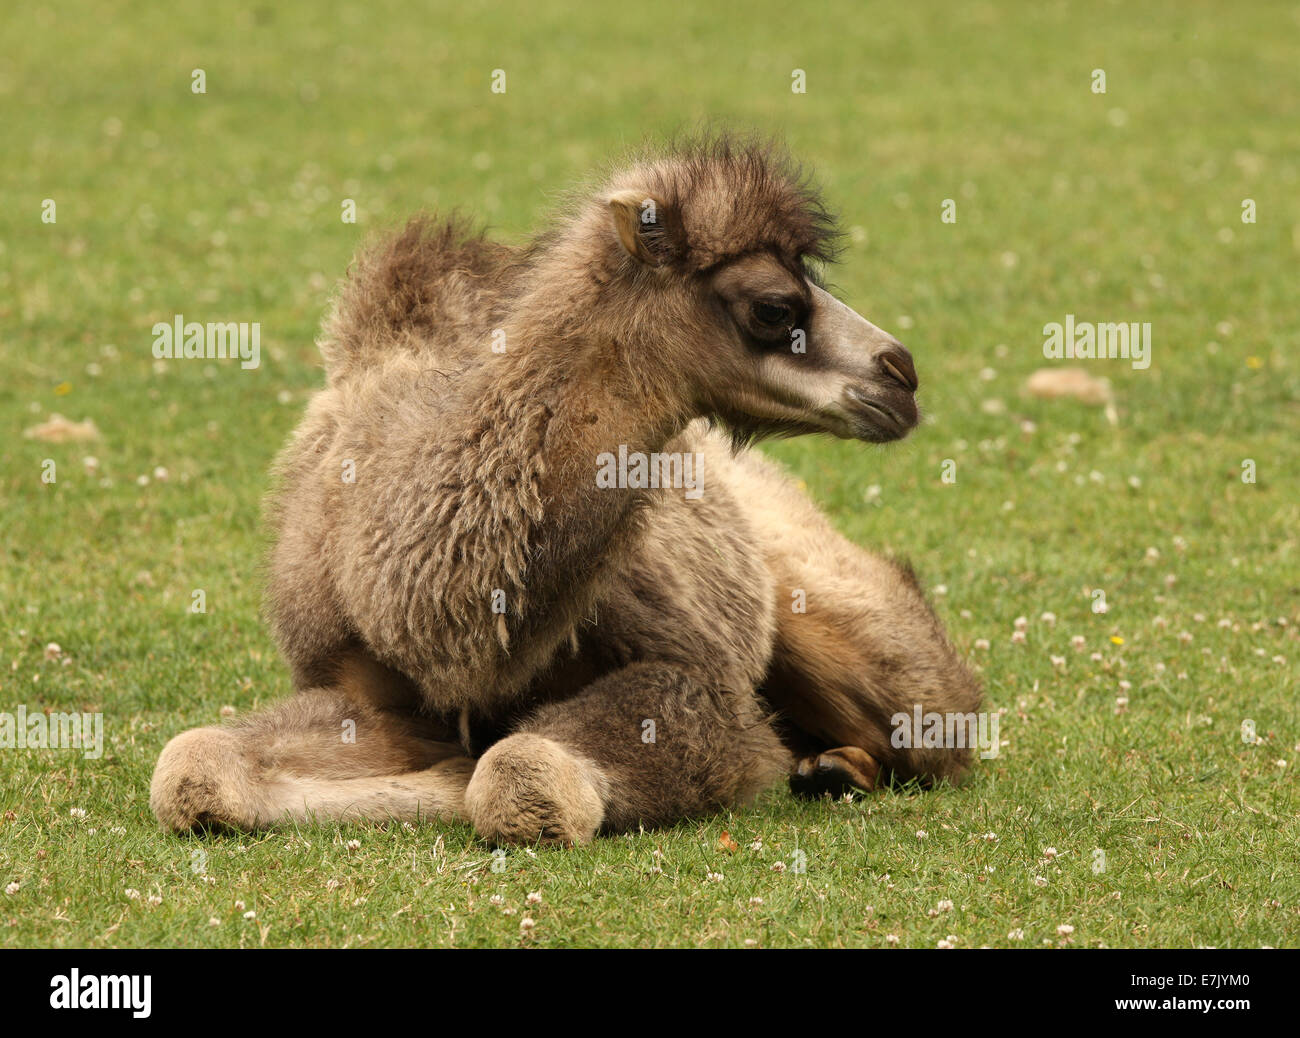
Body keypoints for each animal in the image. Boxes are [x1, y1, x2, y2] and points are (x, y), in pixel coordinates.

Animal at [150, 137, 982, 846]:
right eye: (775, 307)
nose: (900, 374)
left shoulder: (700, 681)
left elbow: (523, 770)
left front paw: (457, 780)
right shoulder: (359, 686)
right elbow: (192, 764)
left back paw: (836, 767)